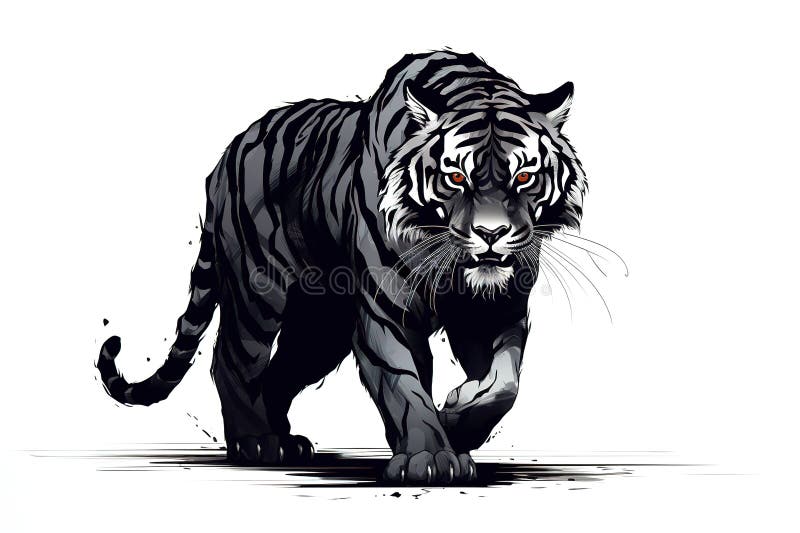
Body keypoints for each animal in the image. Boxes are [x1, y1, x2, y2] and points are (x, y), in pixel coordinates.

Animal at [97, 50, 587, 485]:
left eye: (524, 177)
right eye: (455, 177)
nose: (491, 233)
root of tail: (228, 155)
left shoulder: (495, 308)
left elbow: (504, 383)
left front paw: (457, 421)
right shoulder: (386, 312)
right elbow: (404, 383)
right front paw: (428, 456)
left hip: (321, 327)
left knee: (280, 372)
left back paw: (286, 440)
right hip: (259, 289)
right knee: (233, 358)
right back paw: (256, 442)